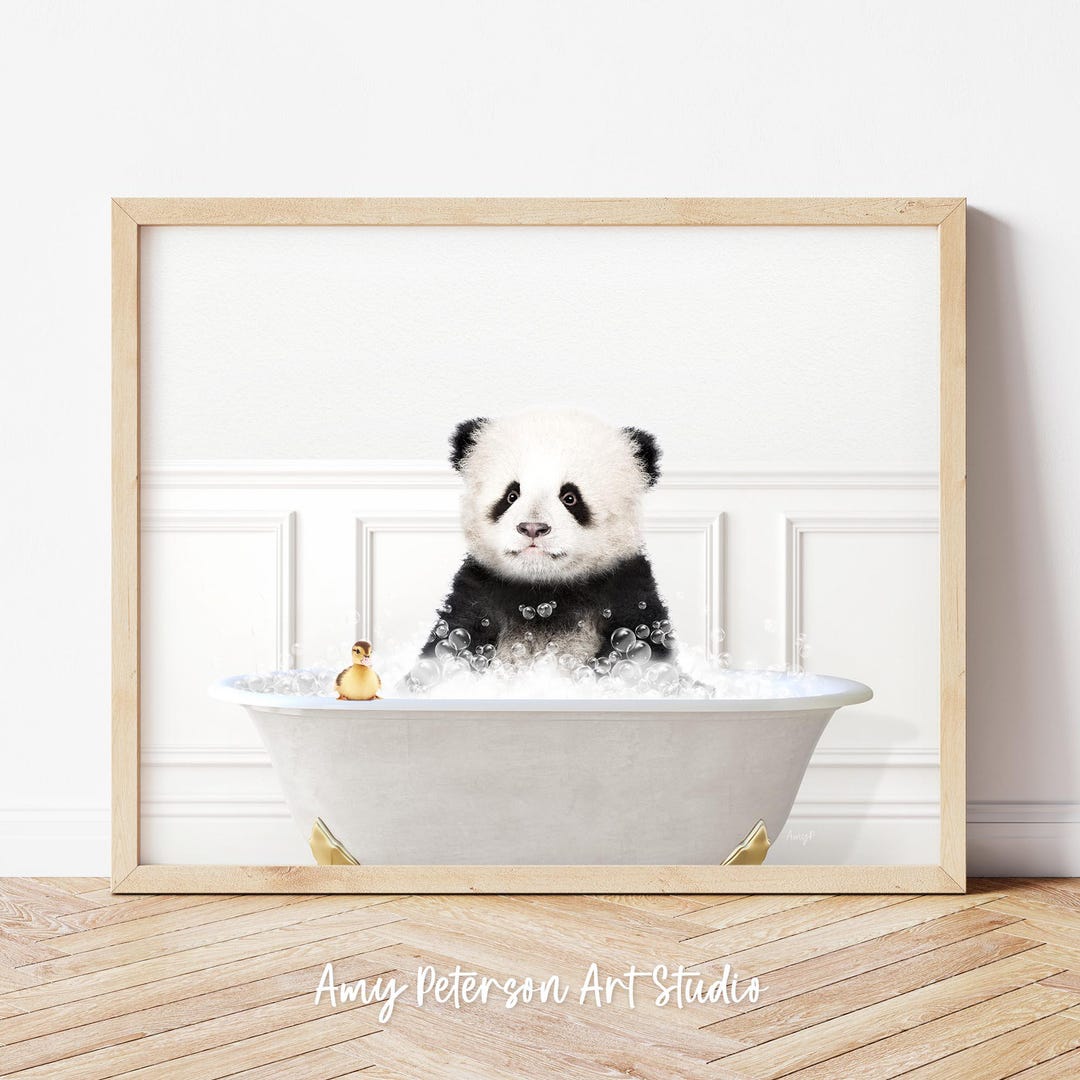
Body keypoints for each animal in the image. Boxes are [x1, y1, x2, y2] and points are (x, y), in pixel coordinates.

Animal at [420, 410, 675, 670]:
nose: (533, 528)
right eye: (511, 495)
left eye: (570, 497)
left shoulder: (625, 591)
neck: (543, 596)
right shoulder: (478, 592)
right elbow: (452, 642)